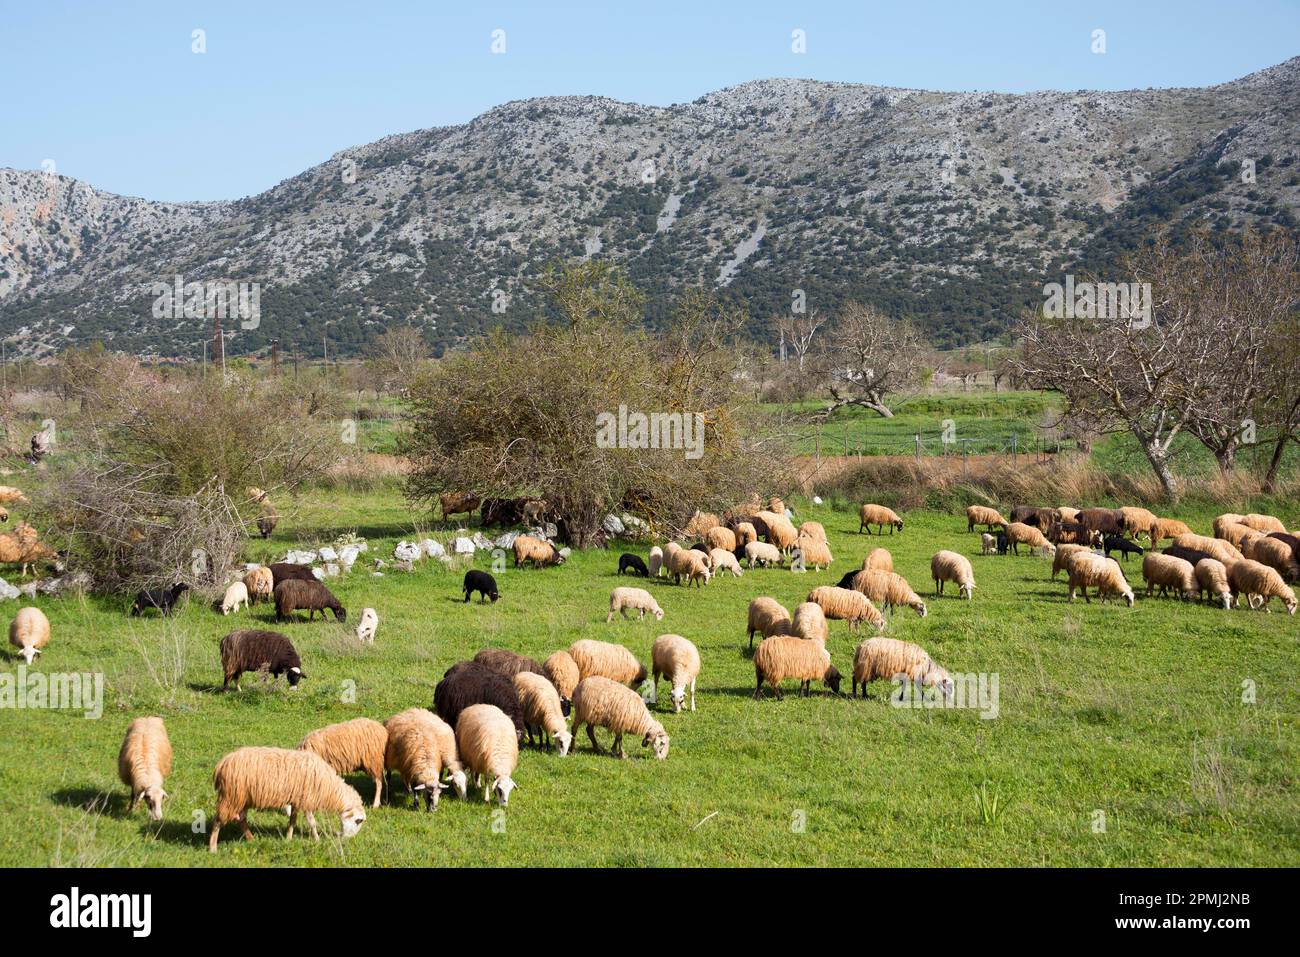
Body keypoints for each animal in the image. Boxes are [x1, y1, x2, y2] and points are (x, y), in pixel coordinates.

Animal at [208, 747, 365, 851]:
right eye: (358, 821)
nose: (348, 839)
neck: (329, 788)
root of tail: (221, 765)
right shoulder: (306, 799)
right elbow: (312, 822)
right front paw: (317, 840)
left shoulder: (297, 800)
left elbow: (292, 821)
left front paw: (288, 838)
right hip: (230, 796)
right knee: (218, 821)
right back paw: (213, 848)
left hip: (242, 798)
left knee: (241, 819)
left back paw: (251, 839)